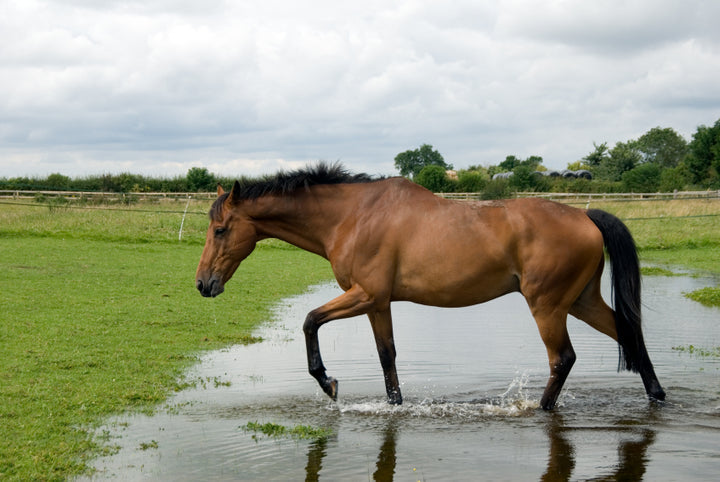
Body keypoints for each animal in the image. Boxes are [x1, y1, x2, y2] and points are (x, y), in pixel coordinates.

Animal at [195, 163, 665, 410]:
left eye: (220, 230)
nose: (203, 284)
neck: (353, 215)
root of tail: (585, 216)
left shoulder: (365, 294)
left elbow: (310, 320)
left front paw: (328, 382)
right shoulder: (378, 302)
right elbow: (386, 355)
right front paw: (394, 405)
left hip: (548, 306)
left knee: (563, 359)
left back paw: (539, 409)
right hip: (581, 301)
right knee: (630, 332)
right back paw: (657, 395)